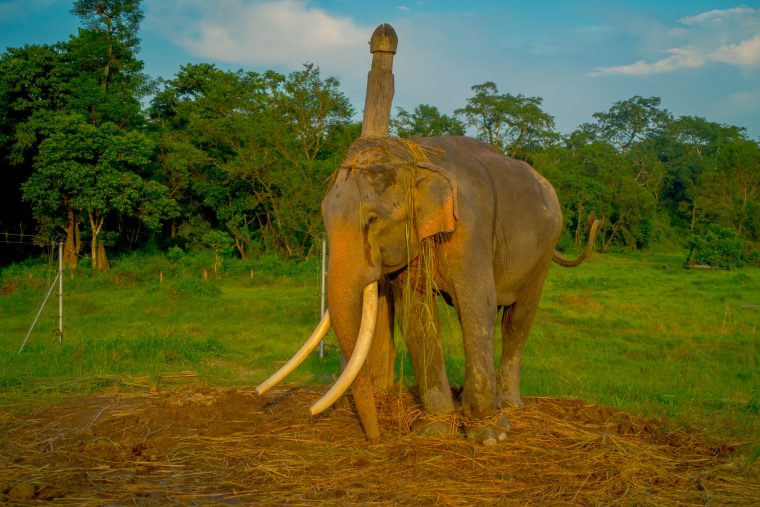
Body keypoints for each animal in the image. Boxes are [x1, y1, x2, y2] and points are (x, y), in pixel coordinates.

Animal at [257, 135, 600, 446]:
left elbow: (478, 306)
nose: (376, 439)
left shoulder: (470, 227)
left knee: (517, 319)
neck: (415, 157)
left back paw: (510, 405)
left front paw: (490, 437)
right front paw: (434, 431)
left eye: (372, 219)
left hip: (542, 253)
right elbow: (415, 317)